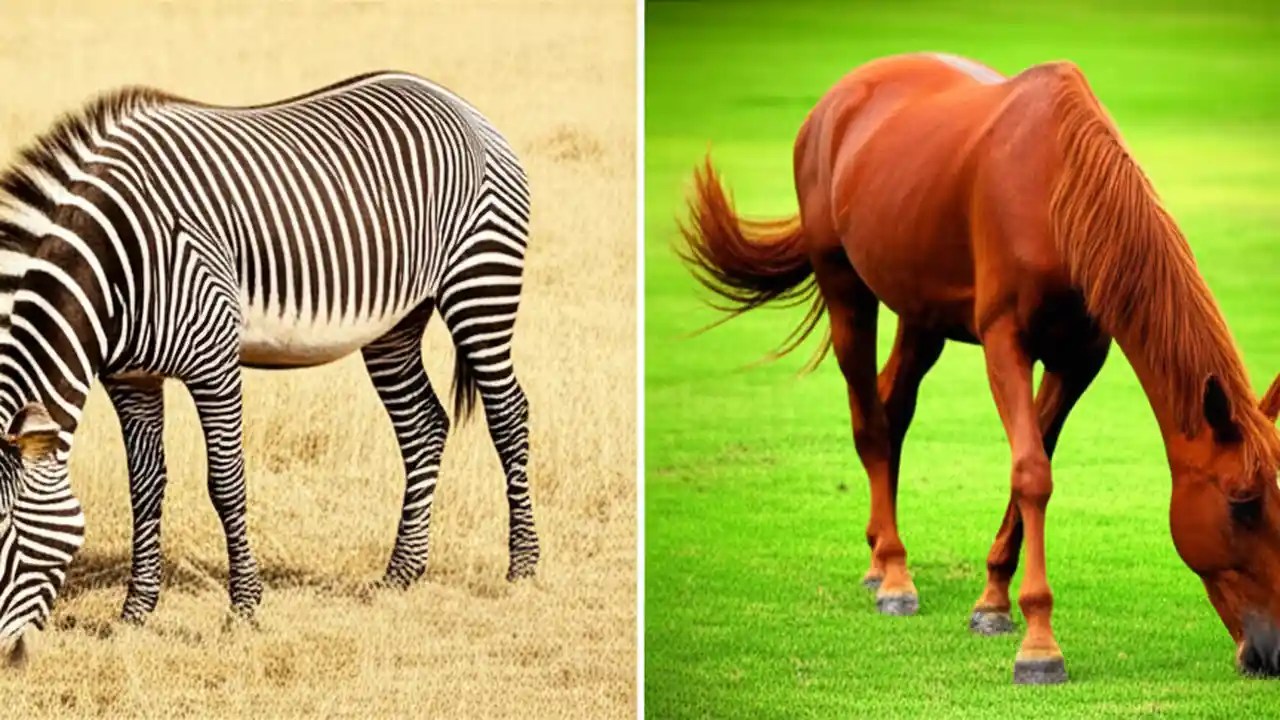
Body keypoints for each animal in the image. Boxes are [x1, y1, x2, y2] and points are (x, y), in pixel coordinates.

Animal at [0, 71, 540, 649]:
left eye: (5, 535)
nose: (6, 653)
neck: (116, 259)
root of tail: (451, 98)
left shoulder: (213, 362)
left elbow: (225, 483)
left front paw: (243, 609)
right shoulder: (131, 378)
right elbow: (143, 487)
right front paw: (136, 612)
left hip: (481, 281)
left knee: (509, 415)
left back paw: (522, 567)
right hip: (396, 323)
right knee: (423, 426)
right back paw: (401, 573)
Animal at [677, 52, 1280, 684]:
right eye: (1242, 502)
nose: (1273, 651)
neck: (1058, 188)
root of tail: (835, 102)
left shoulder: (1079, 359)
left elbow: (1034, 460)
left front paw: (993, 601)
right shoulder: (1004, 341)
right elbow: (1033, 472)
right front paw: (1040, 646)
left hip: (920, 311)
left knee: (893, 409)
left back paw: (878, 559)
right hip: (845, 287)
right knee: (870, 422)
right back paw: (894, 575)